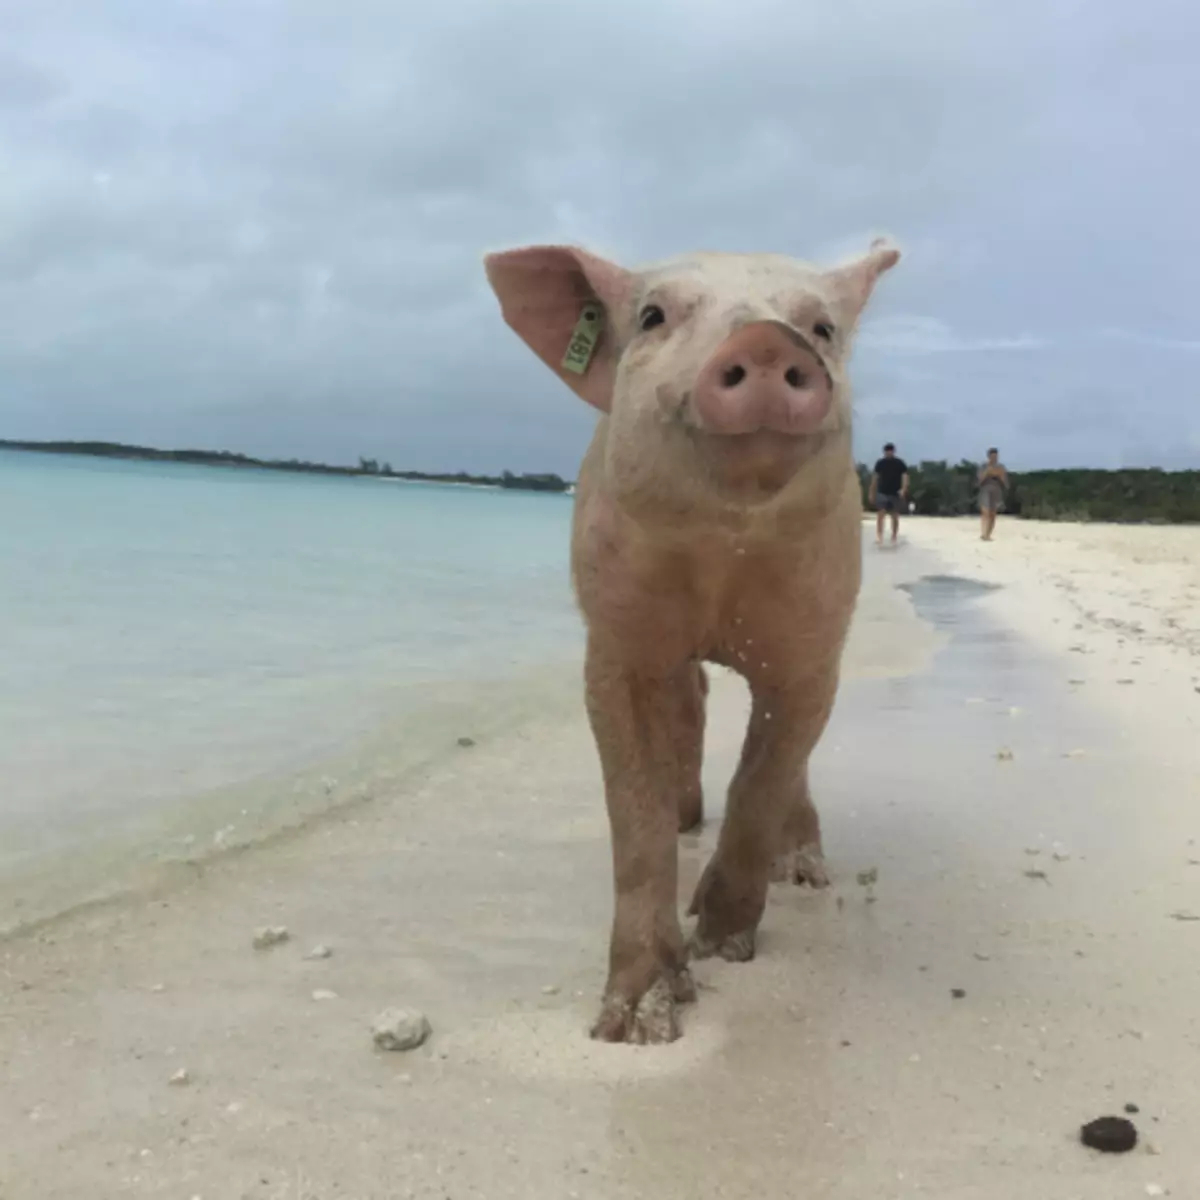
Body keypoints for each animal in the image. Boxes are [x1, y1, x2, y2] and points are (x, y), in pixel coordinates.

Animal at [482, 236, 897, 1041]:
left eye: (821, 328)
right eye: (652, 316)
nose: (768, 340)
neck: (720, 560)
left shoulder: (815, 648)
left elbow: (764, 777)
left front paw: (724, 944)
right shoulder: (613, 642)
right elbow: (633, 811)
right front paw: (634, 1026)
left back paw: (806, 871)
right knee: (694, 699)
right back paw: (686, 818)